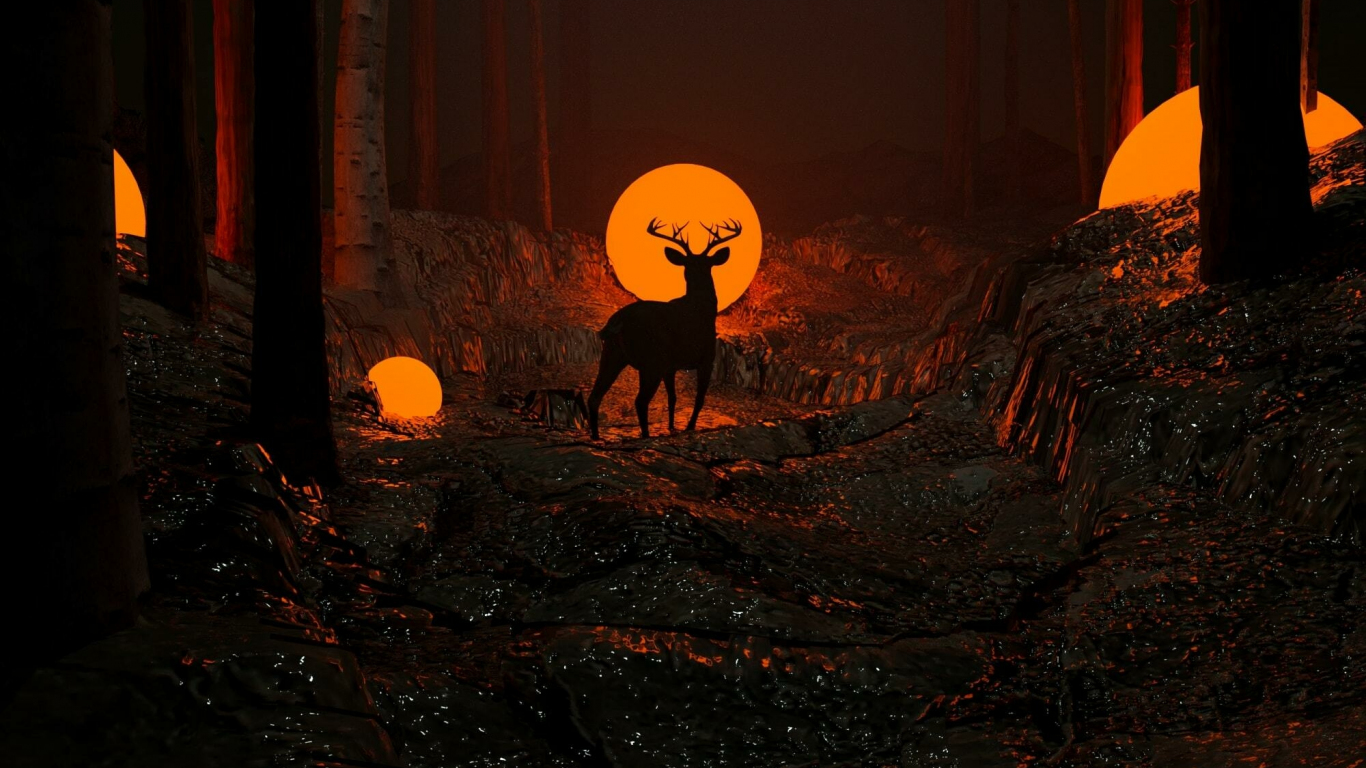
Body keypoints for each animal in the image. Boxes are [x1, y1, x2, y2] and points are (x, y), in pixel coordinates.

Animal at [588, 217, 743, 439]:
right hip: (652, 360)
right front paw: (689, 427)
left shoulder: (671, 366)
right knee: (640, 401)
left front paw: (672, 427)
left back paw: (597, 436)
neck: (702, 308)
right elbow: (699, 399)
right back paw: (645, 435)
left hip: (612, 354)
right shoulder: (706, 358)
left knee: (594, 396)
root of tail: (618, 321)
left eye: (704, 264)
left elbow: (673, 397)